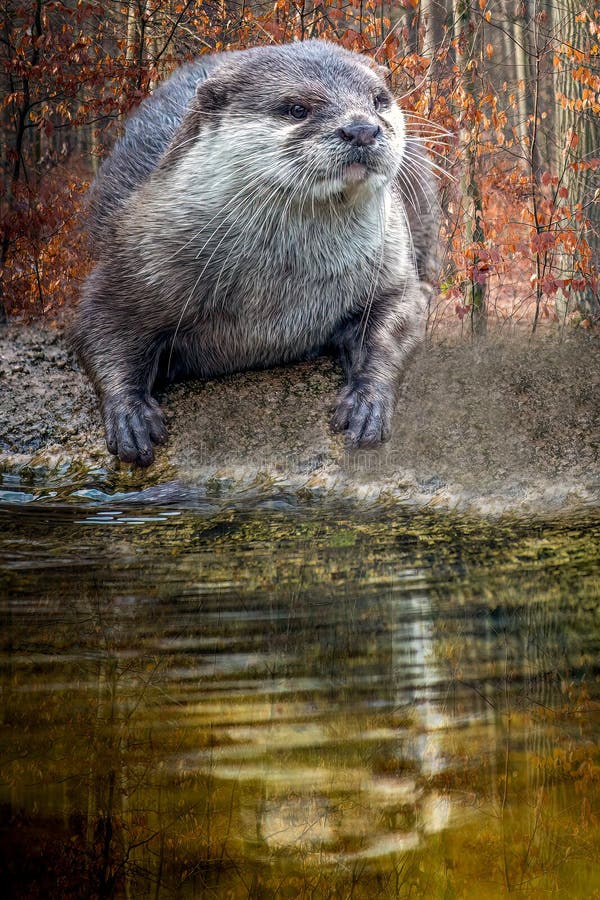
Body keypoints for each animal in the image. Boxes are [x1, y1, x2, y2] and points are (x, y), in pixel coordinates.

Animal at [74, 40, 439, 466]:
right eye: (296, 108)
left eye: (379, 100)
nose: (362, 128)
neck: (276, 300)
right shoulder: (132, 256)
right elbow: (97, 327)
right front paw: (129, 416)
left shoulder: (388, 266)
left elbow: (397, 317)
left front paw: (368, 403)